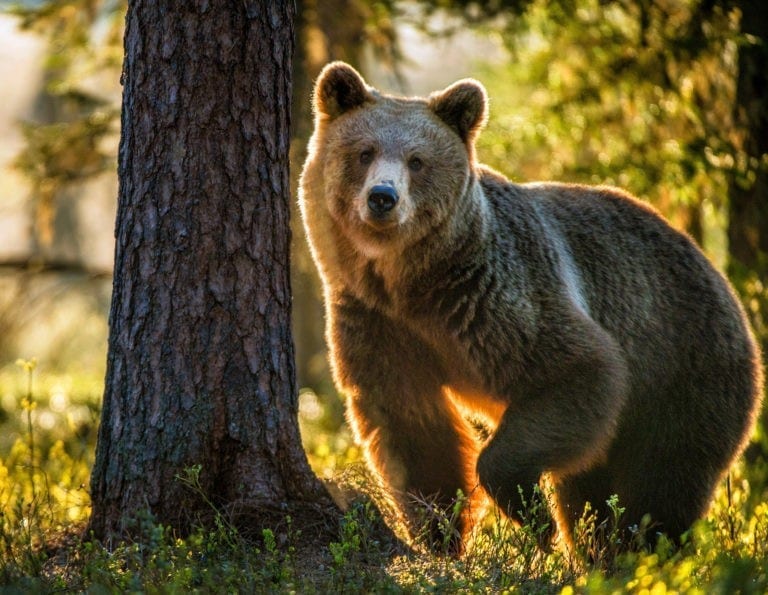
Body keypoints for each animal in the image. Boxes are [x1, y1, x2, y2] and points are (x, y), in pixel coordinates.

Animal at [298, 61, 764, 555]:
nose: (383, 197)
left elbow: (578, 369)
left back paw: (641, 549)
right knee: (593, 494)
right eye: (364, 152)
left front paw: (533, 519)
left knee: (659, 484)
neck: (412, 283)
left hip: (681, 368)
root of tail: (718, 274)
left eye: (417, 160)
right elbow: (412, 429)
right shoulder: (378, 322)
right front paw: (441, 534)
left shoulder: (494, 298)